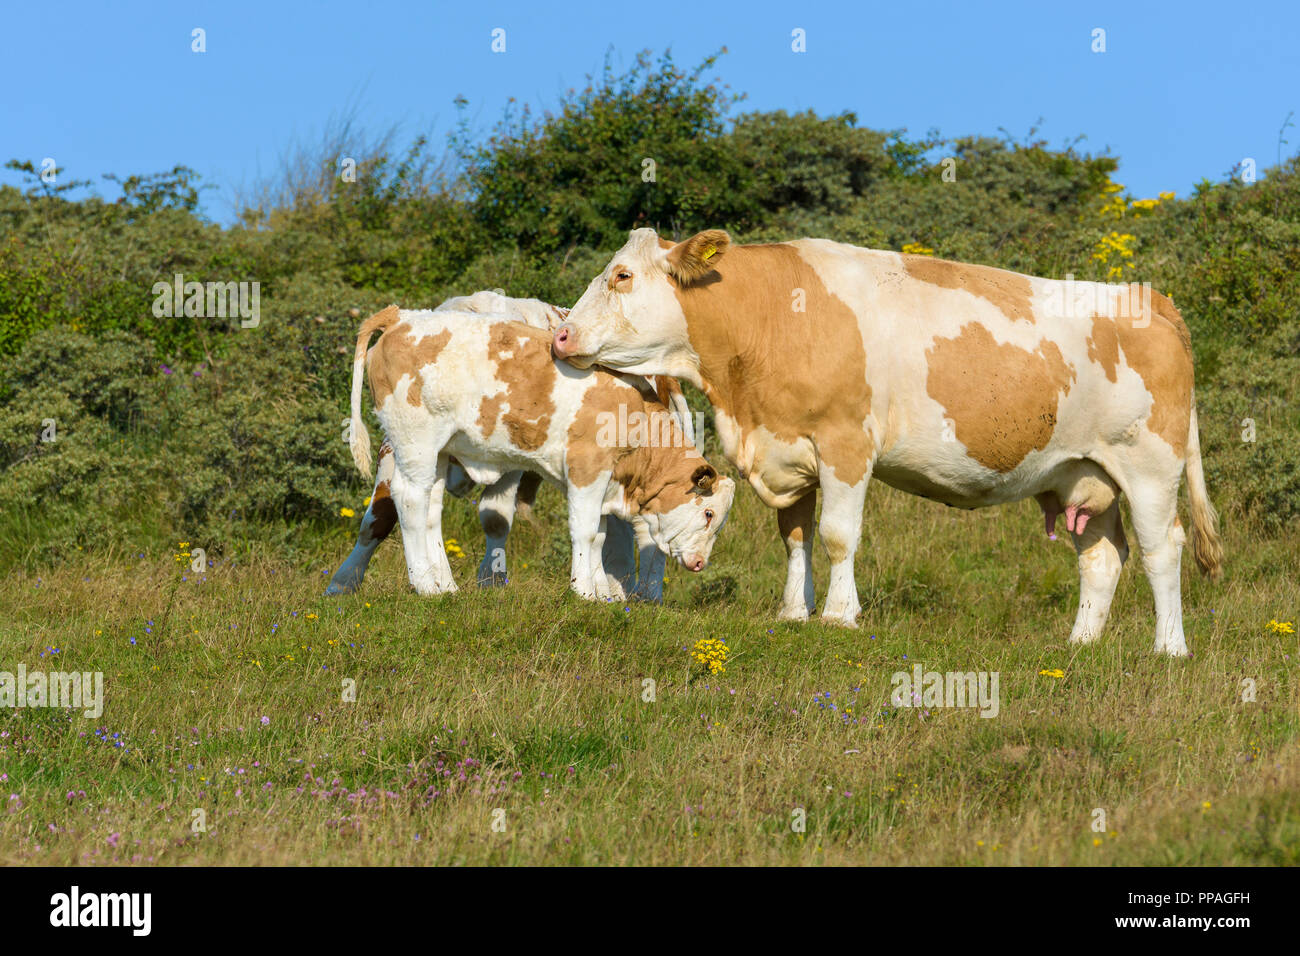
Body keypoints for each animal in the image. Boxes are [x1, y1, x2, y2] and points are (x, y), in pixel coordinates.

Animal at [348, 306, 736, 600]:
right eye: (708, 514)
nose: (700, 563)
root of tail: (402, 316)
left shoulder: (604, 481)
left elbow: (599, 535)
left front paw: (601, 595)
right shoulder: (586, 468)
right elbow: (584, 531)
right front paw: (584, 592)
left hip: (441, 450)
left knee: (430, 508)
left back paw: (446, 586)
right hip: (416, 441)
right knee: (409, 498)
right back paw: (426, 585)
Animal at [551, 228, 1224, 655]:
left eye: (621, 275)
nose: (560, 335)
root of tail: (1145, 296)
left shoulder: (846, 443)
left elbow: (837, 535)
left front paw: (838, 616)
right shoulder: (788, 447)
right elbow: (795, 536)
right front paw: (793, 612)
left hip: (1149, 465)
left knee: (1162, 548)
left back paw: (1169, 648)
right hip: (1082, 474)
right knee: (1102, 557)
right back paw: (1079, 644)